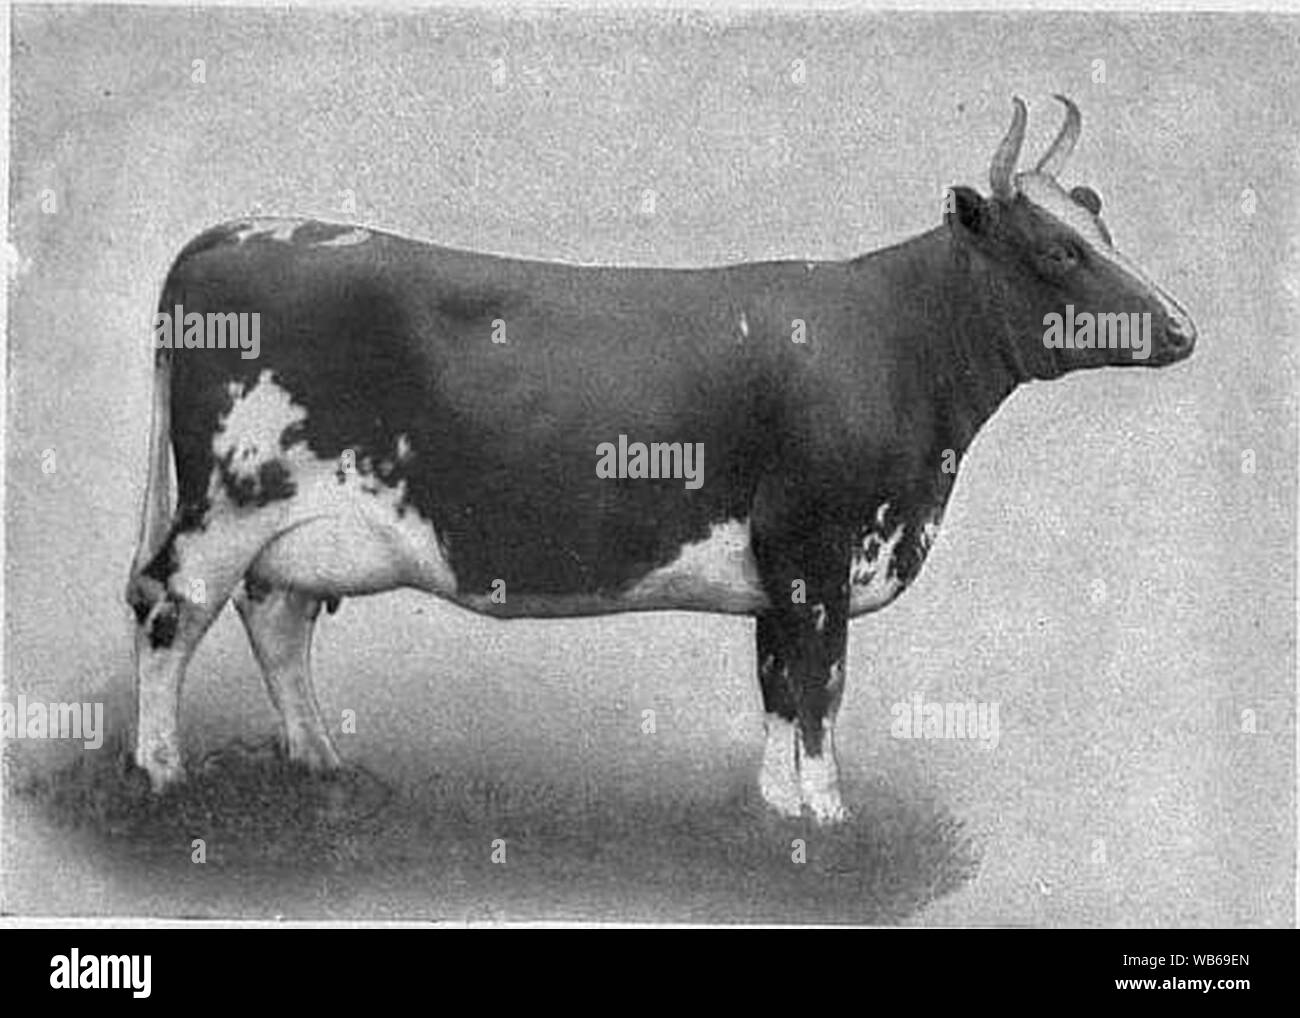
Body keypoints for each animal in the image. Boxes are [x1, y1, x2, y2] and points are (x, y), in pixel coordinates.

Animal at [125, 96, 1195, 822]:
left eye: (1100, 228)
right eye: (1056, 252)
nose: (1183, 328)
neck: (897, 346)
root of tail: (235, 229)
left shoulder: (779, 574)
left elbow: (778, 688)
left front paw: (776, 815)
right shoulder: (815, 553)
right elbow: (823, 690)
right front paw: (830, 821)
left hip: (299, 524)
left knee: (277, 619)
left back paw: (317, 764)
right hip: (226, 504)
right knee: (171, 613)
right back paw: (161, 773)